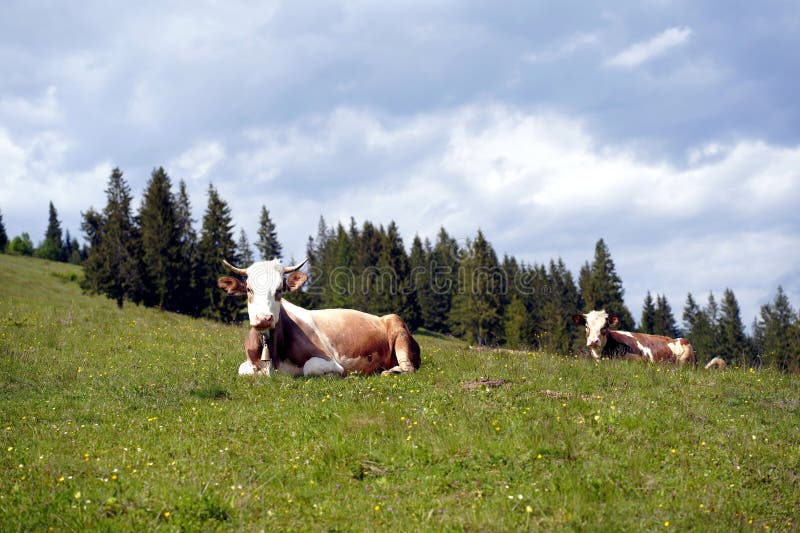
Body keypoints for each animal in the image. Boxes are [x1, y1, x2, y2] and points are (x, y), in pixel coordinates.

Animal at [217, 258, 421, 377]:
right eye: (249, 289)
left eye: (279, 289)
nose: (263, 318)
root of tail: (383, 317)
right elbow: (243, 370)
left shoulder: (330, 360)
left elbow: (310, 368)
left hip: (399, 330)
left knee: (408, 368)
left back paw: (390, 372)